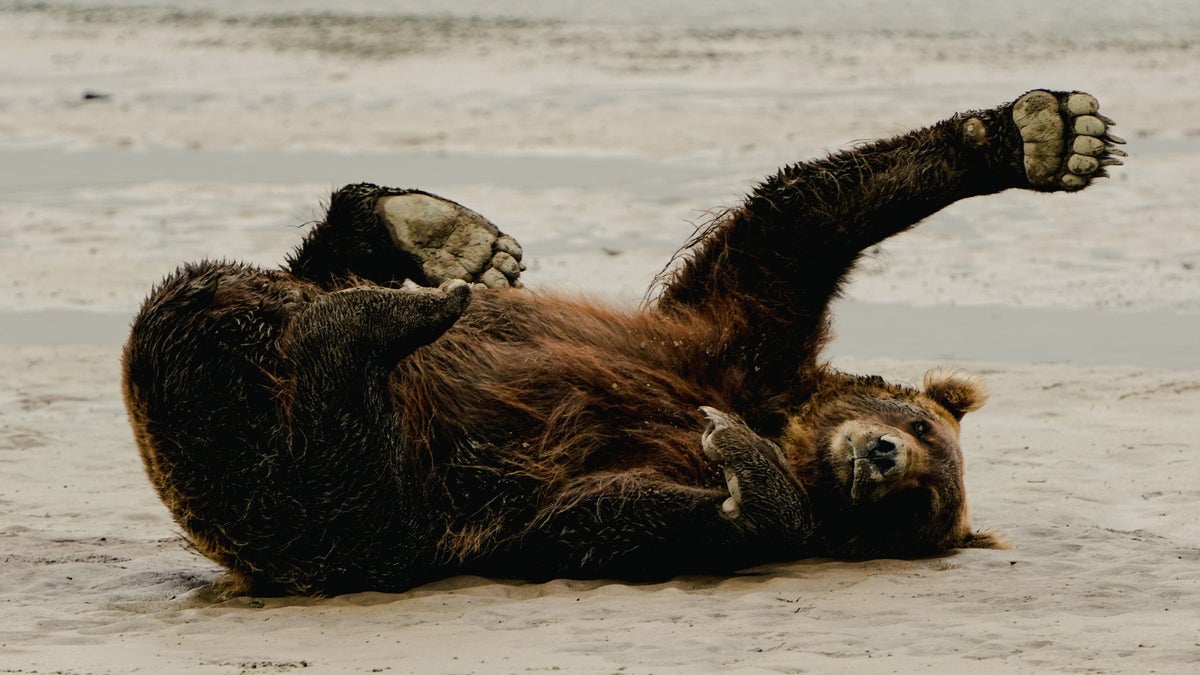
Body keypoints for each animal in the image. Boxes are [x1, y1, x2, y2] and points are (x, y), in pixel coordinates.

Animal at [121, 89, 1124, 595]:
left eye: (919, 502)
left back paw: (381, 319)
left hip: (334, 500)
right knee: (269, 283)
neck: (788, 422)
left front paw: (742, 464)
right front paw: (1044, 134)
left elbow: (609, 517)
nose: (880, 456)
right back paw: (440, 243)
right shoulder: (728, 338)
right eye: (916, 422)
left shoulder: (538, 492)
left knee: (310, 441)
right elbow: (795, 219)